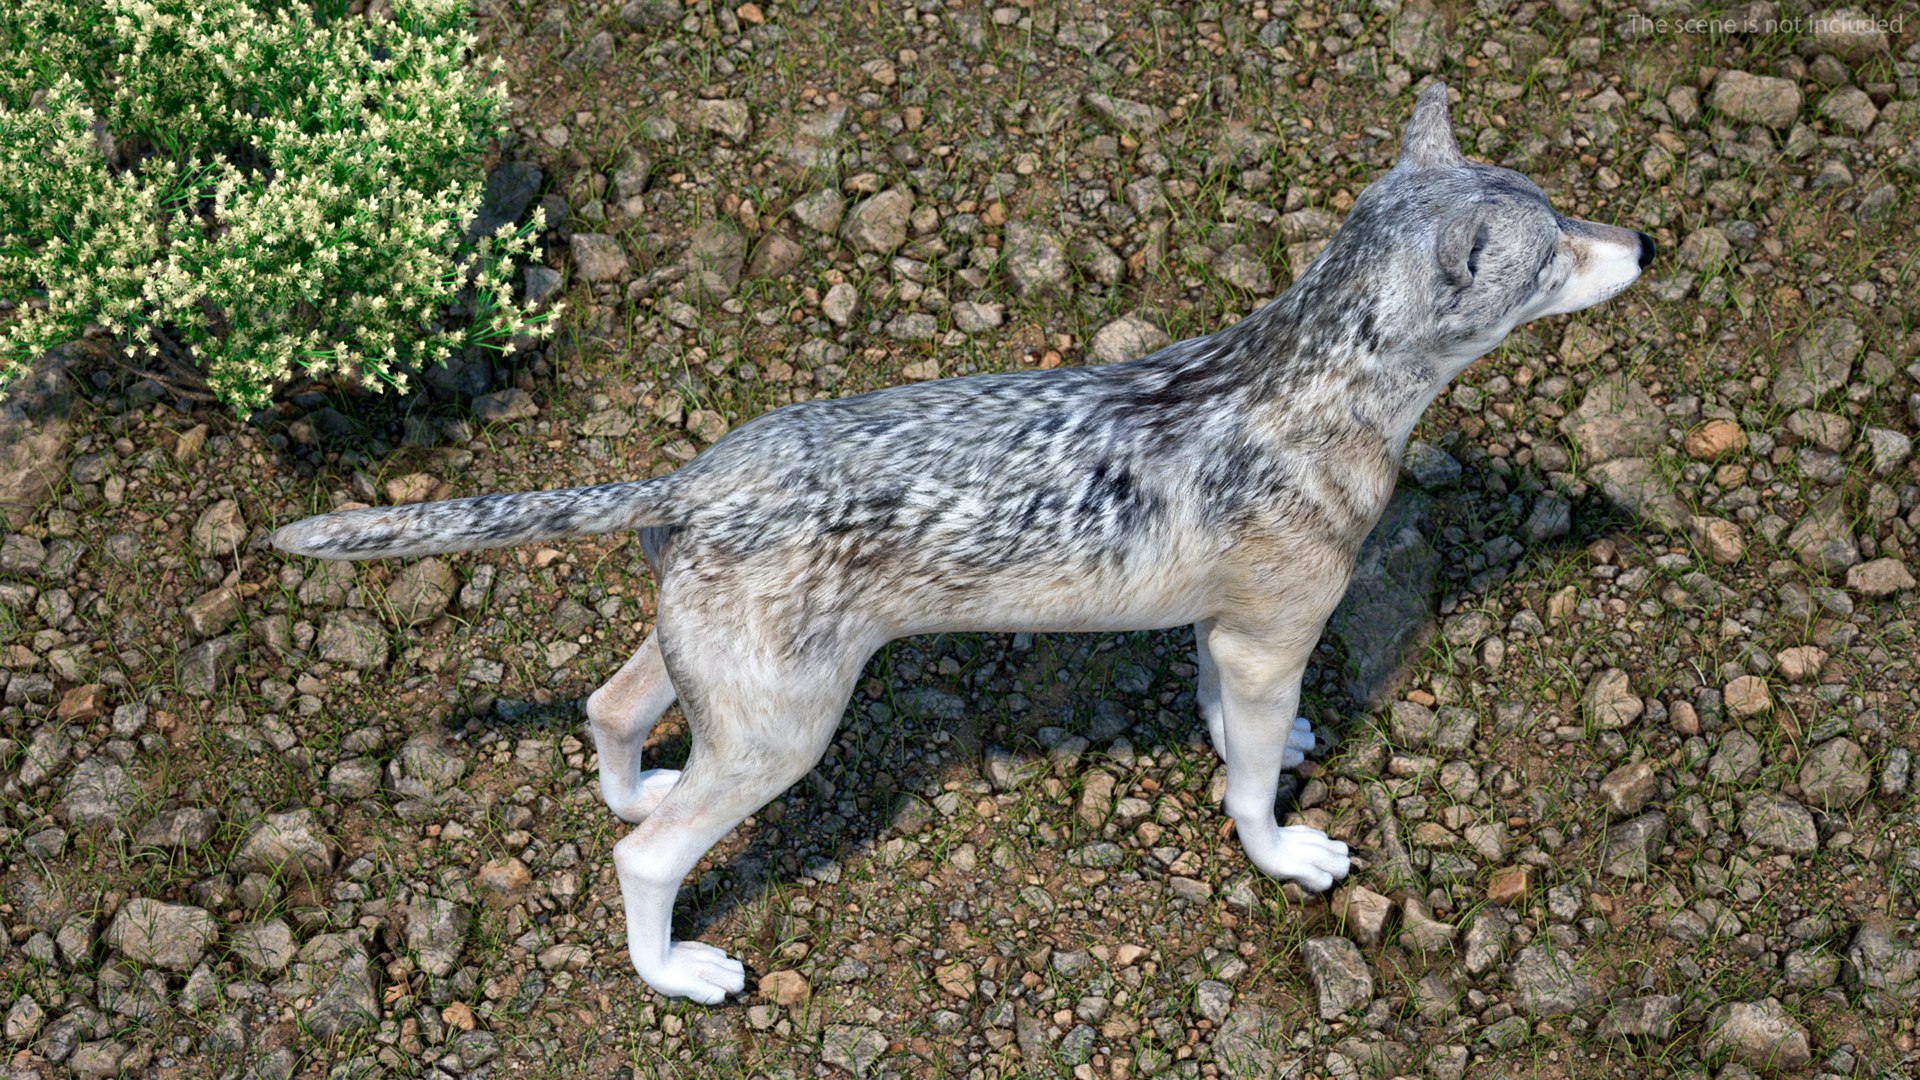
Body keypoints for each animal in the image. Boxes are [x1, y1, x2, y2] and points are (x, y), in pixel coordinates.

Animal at [271, 85, 1653, 1003]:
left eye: (1564, 209)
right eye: (1551, 255)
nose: (1643, 244)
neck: (1308, 377)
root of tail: (703, 476)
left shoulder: (1224, 634)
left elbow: (1224, 717)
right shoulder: (1273, 636)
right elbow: (1251, 787)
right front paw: (1285, 852)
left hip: (716, 671)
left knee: (611, 714)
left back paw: (635, 780)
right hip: (785, 731)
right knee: (643, 857)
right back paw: (676, 971)